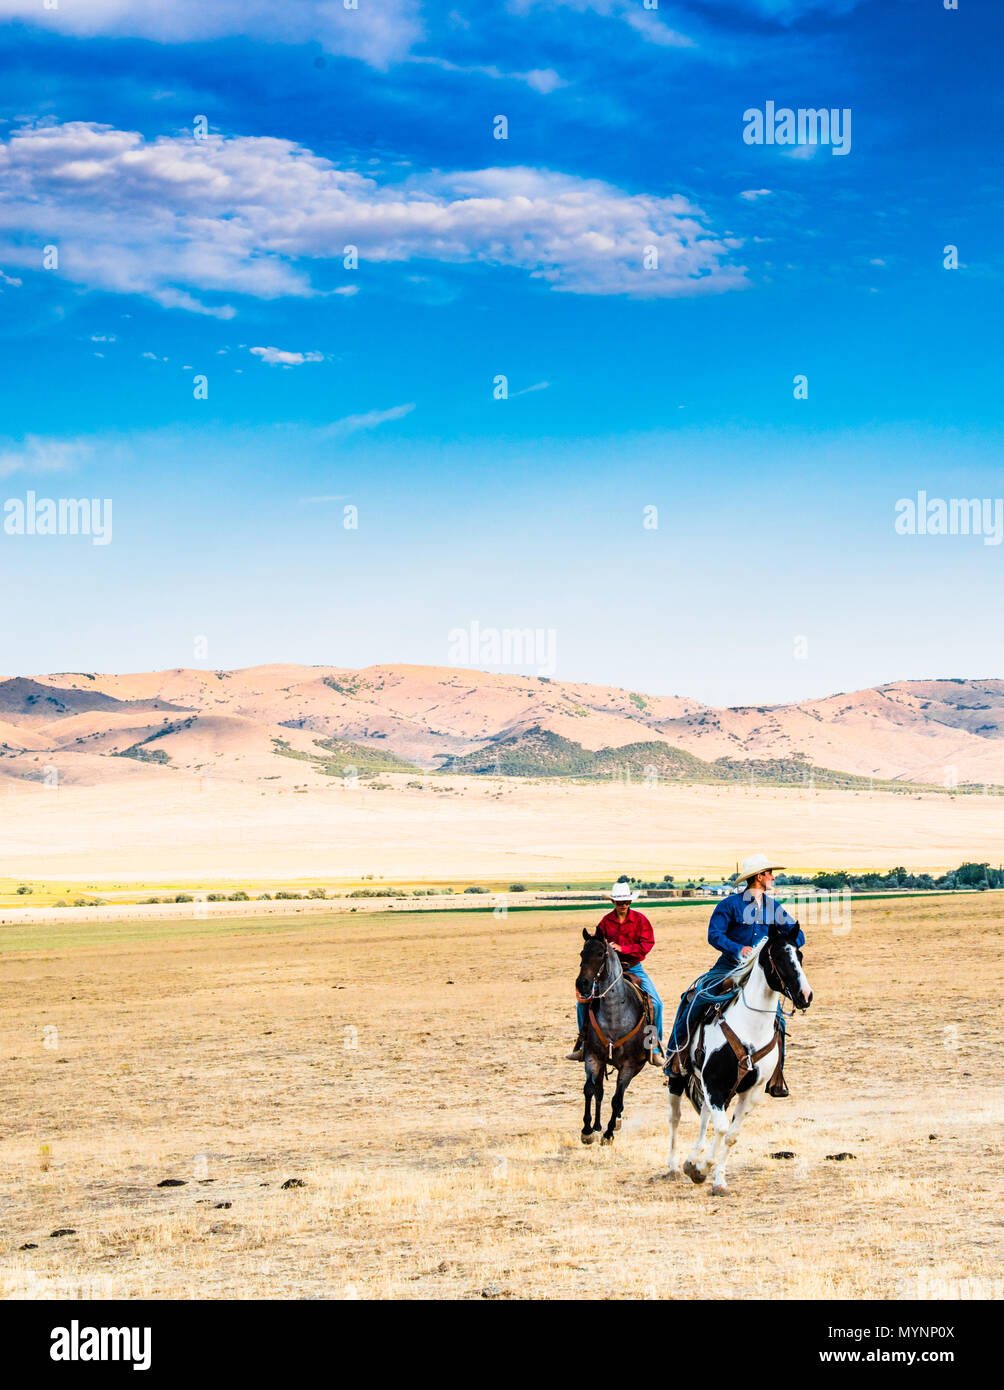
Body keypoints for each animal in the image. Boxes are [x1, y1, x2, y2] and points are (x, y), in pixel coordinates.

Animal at [574, 927, 652, 1145]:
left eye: (601, 953)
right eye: (582, 954)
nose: (582, 984)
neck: (614, 1014)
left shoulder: (629, 1065)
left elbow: (617, 1098)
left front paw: (609, 1133)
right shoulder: (593, 1057)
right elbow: (590, 1089)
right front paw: (587, 1130)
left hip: (636, 1066)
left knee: (620, 1094)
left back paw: (614, 1122)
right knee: (599, 1091)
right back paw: (597, 1125)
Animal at [666, 918, 813, 1195]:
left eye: (799, 955)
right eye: (779, 956)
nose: (805, 995)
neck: (750, 1027)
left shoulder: (750, 1091)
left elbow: (731, 1135)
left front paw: (716, 1179)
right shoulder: (714, 1083)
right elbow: (722, 1128)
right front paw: (703, 1169)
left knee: (704, 1114)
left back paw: (692, 1159)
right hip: (679, 1077)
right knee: (675, 1117)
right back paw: (672, 1167)